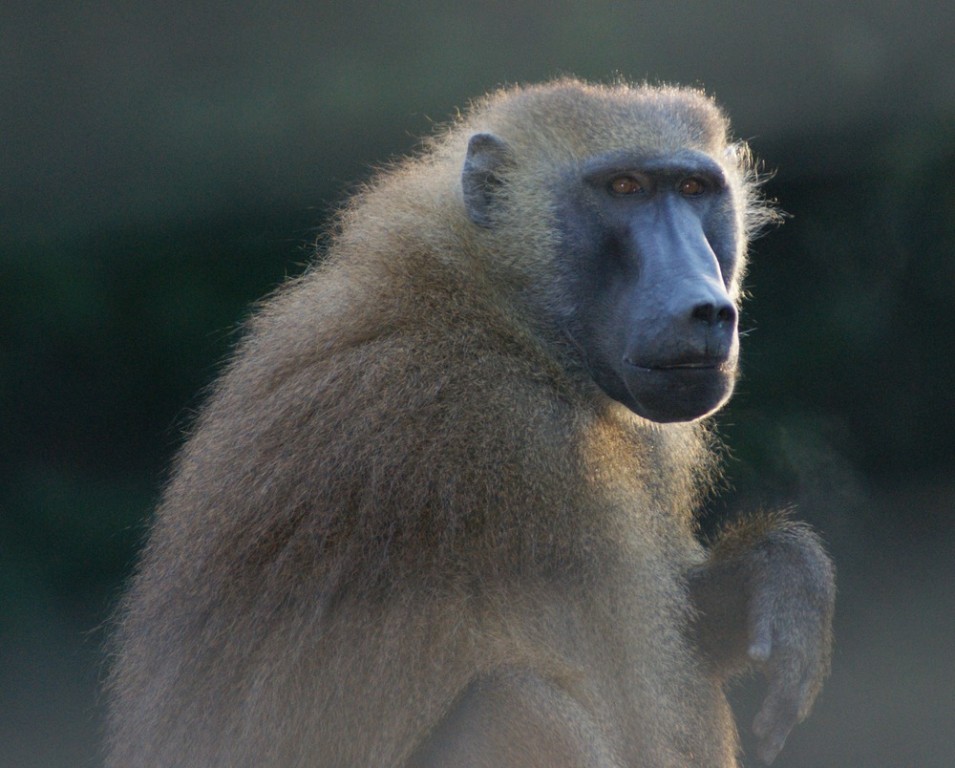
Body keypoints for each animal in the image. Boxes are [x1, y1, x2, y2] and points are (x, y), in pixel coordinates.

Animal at [105, 79, 834, 768]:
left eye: (693, 189)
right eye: (623, 188)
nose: (706, 309)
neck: (496, 311)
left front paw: (776, 577)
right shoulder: (519, 437)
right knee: (518, 703)